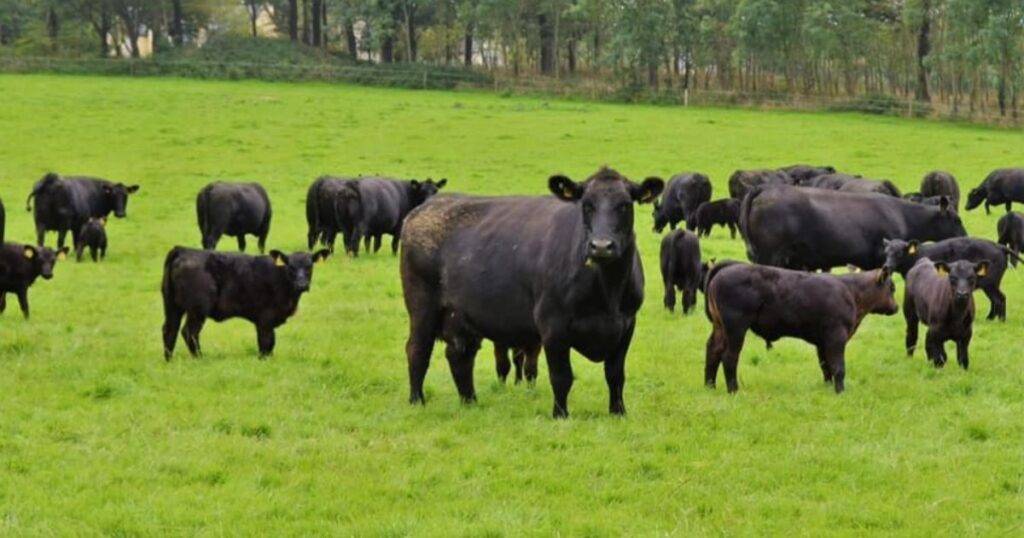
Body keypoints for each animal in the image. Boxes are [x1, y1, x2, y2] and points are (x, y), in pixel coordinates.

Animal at [161, 246, 330, 359]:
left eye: (309, 266)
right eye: (291, 266)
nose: (302, 284)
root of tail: (184, 250)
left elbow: (270, 343)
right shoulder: (265, 319)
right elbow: (266, 342)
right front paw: (264, 360)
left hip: (172, 306)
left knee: (169, 330)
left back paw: (169, 360)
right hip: (198, 309)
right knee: (189, 332)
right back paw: (200, 358)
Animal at [400, 166, 663, 418]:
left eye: (625, 205)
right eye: (586, 205)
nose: (601, 246)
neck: (607, 292)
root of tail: (425, 208)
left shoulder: (626, 324)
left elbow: (615, 375)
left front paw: (618, 412)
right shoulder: (552, 325)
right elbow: (561, 377)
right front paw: (560, 415)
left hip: (461, 316)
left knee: (460, 356)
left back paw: (470, 402)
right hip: (422, 307)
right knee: (417, 350)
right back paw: (417, 401)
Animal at [704, 262, 898, 393]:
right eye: (892, 288)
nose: (896, 307)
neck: (850, 291)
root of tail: (730, 267)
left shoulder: (822, 342)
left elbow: (825, 365)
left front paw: (828, 387)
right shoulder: (836, 337)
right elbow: (838, 367)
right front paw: (840, 391)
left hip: (720, 327)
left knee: (713, 351)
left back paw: (710, 386)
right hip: (735, 329)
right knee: (729, 357)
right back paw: (733, 390)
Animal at [883, 238, 1019, 321]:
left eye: (899, 253)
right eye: (886, 253)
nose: (887, 266)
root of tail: (999, 246)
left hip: (990, 284)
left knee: (999, 299)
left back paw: (1000, 320)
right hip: (991, 285)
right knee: (996, 300)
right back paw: (990, 318)